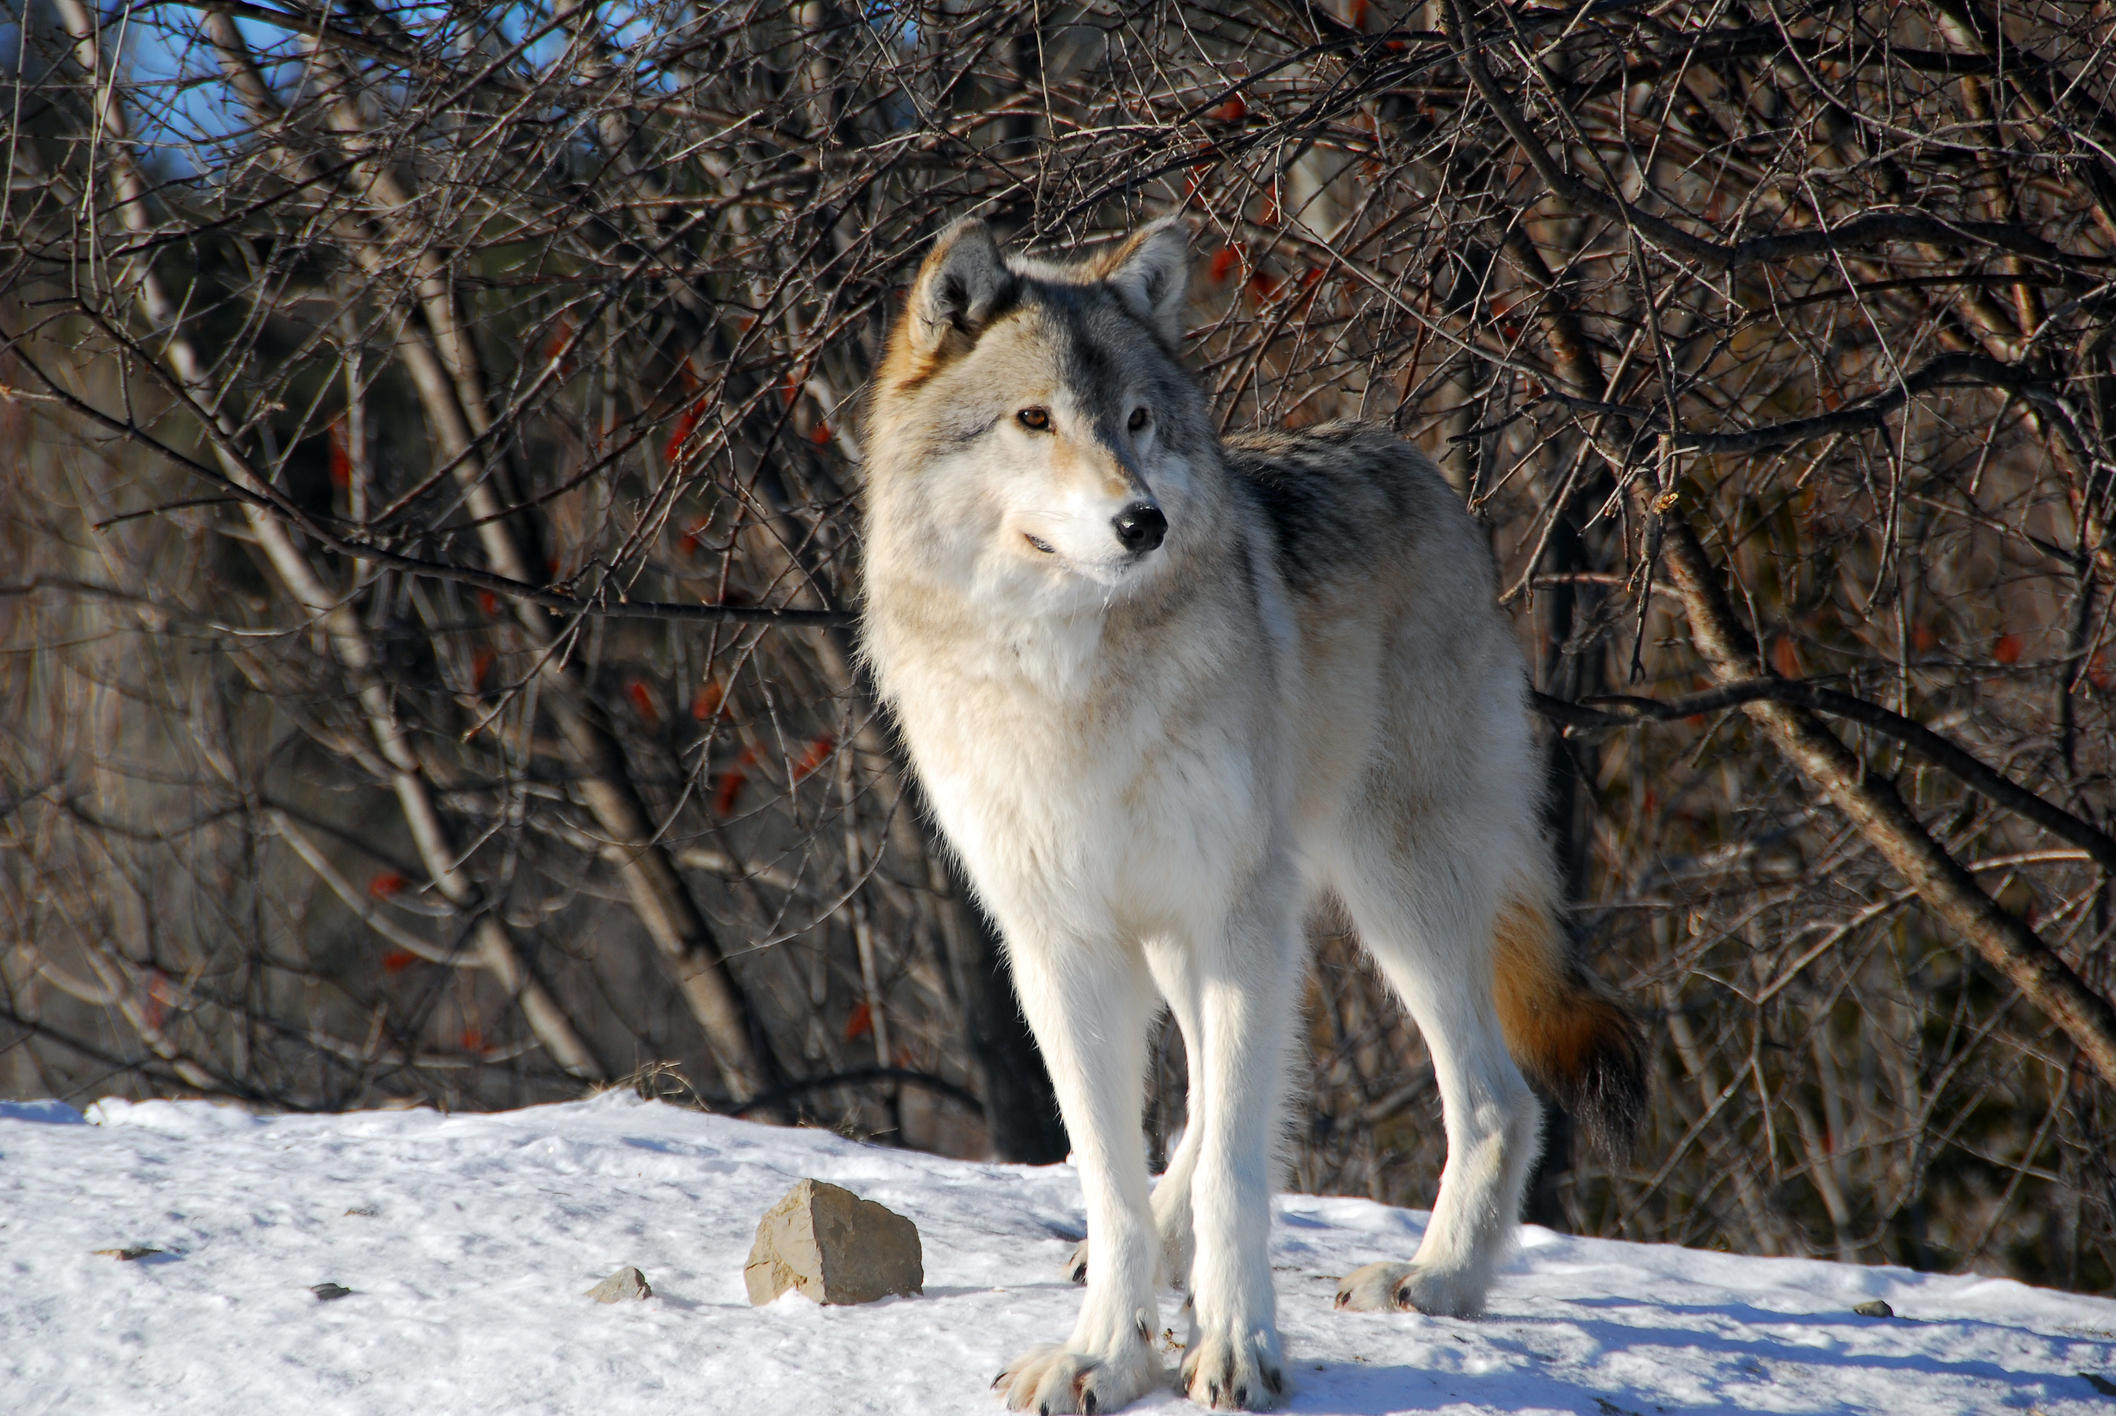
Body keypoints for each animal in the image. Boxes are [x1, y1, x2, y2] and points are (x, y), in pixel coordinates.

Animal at [858, 216, 1643, 1413]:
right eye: (1035, 418)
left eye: (1137, 420)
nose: (1142, 520)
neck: (1068, 680)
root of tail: (1411, 459)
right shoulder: (1063, 946)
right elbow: (1111, 1174)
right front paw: (1107, 1352)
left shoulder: (1233, 918)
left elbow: (1234, 1163)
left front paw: (1234, 1349)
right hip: (1216, 933)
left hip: (1387, 896)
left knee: (1495, 1097)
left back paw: (1437, 1278)